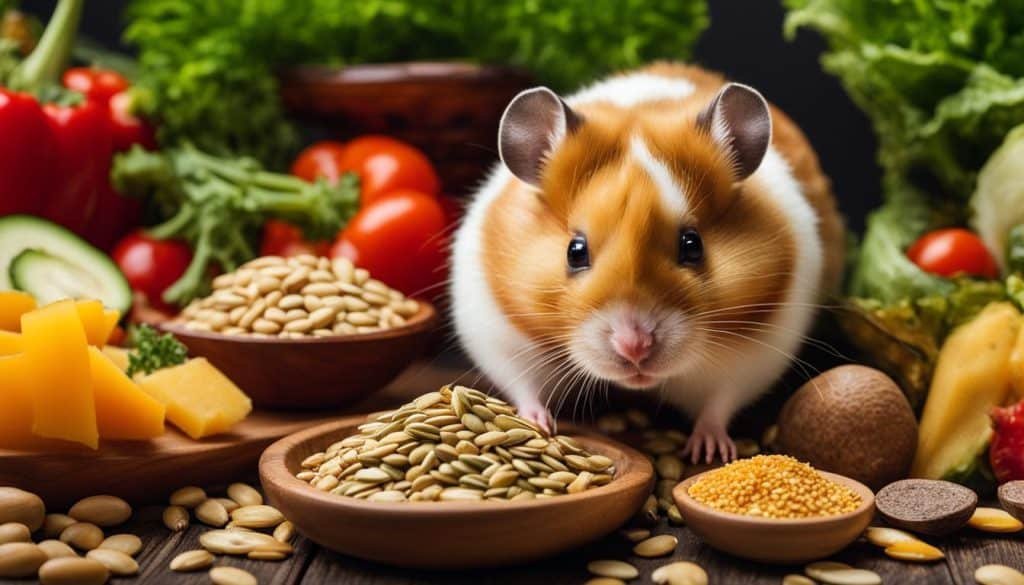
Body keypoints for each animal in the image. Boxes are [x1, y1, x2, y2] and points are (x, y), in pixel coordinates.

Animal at [450, 63, 845, 463]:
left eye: (693, 245)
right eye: (575, 251)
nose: (634, 347)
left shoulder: (750, 361)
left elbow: (718, 404)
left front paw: (708, 451)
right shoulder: (501, 338)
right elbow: (523, 385)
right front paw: (539, 425)